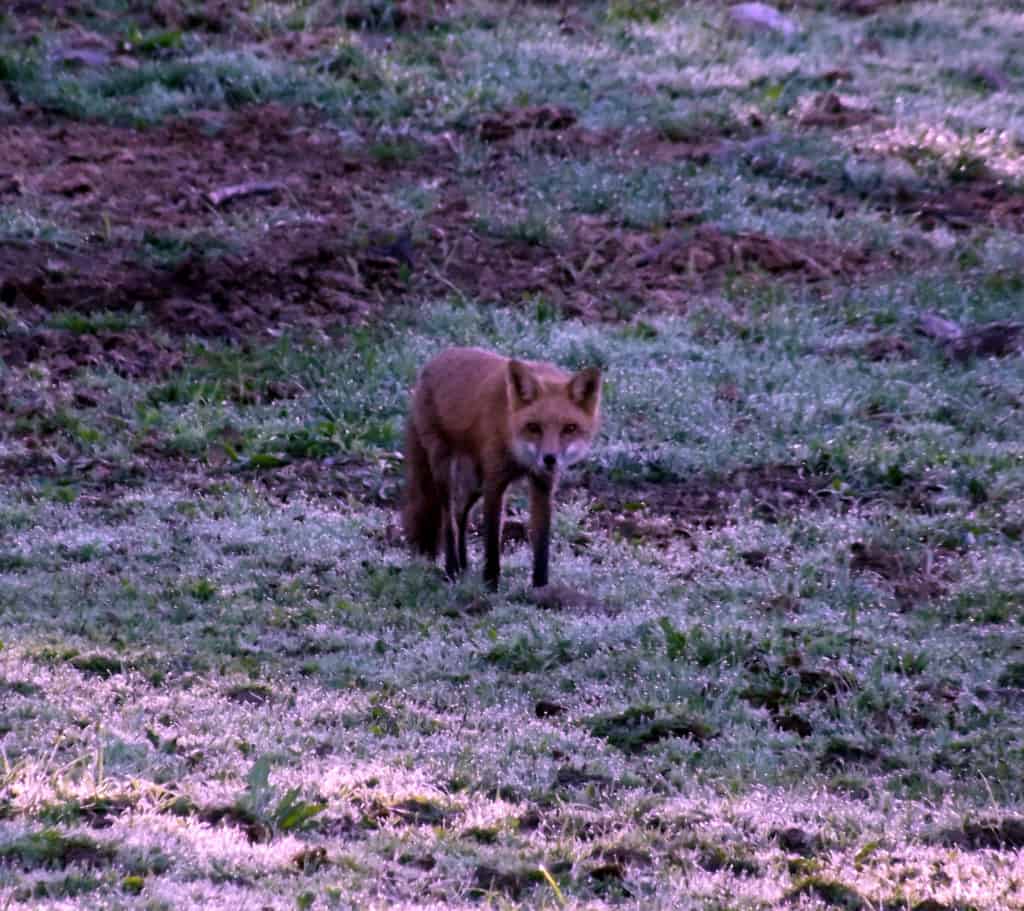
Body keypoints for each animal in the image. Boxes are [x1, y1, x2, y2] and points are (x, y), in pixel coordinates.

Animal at [402, 347, 602, 590]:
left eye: (570, 428)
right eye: (533, 427)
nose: (549, 459)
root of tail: (433, 361)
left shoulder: (542, 486)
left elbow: (542, 543)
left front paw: (540, 587)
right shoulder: (495, 483)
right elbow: (491, 542)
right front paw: (490, 585)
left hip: (475, 483)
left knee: (460, 514)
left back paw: (464, 566)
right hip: (445, 468)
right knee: (448, 520)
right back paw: (452, 570)